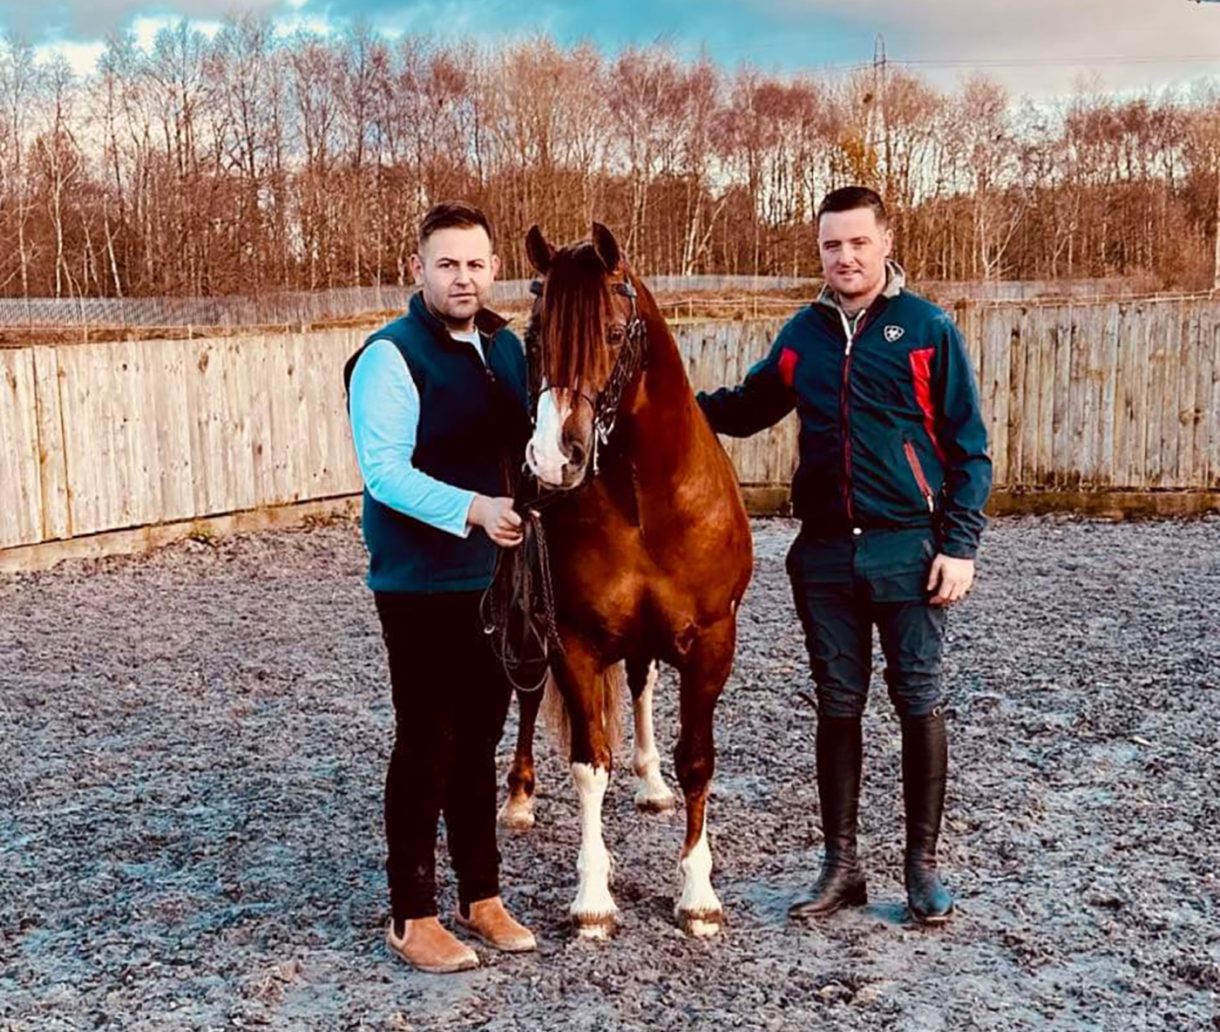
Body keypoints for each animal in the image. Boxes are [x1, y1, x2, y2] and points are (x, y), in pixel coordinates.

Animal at [506, 221, 753, 939]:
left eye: (615, 334)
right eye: (534, 336)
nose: (552, 459)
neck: (647, 501)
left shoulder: (711, 643)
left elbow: (697, 759)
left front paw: (698, 896)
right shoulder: (574, 641)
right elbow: (590, 764)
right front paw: (593, 898)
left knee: (642, 684)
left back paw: (650, 784)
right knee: (528, 696)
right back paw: (519, 798)